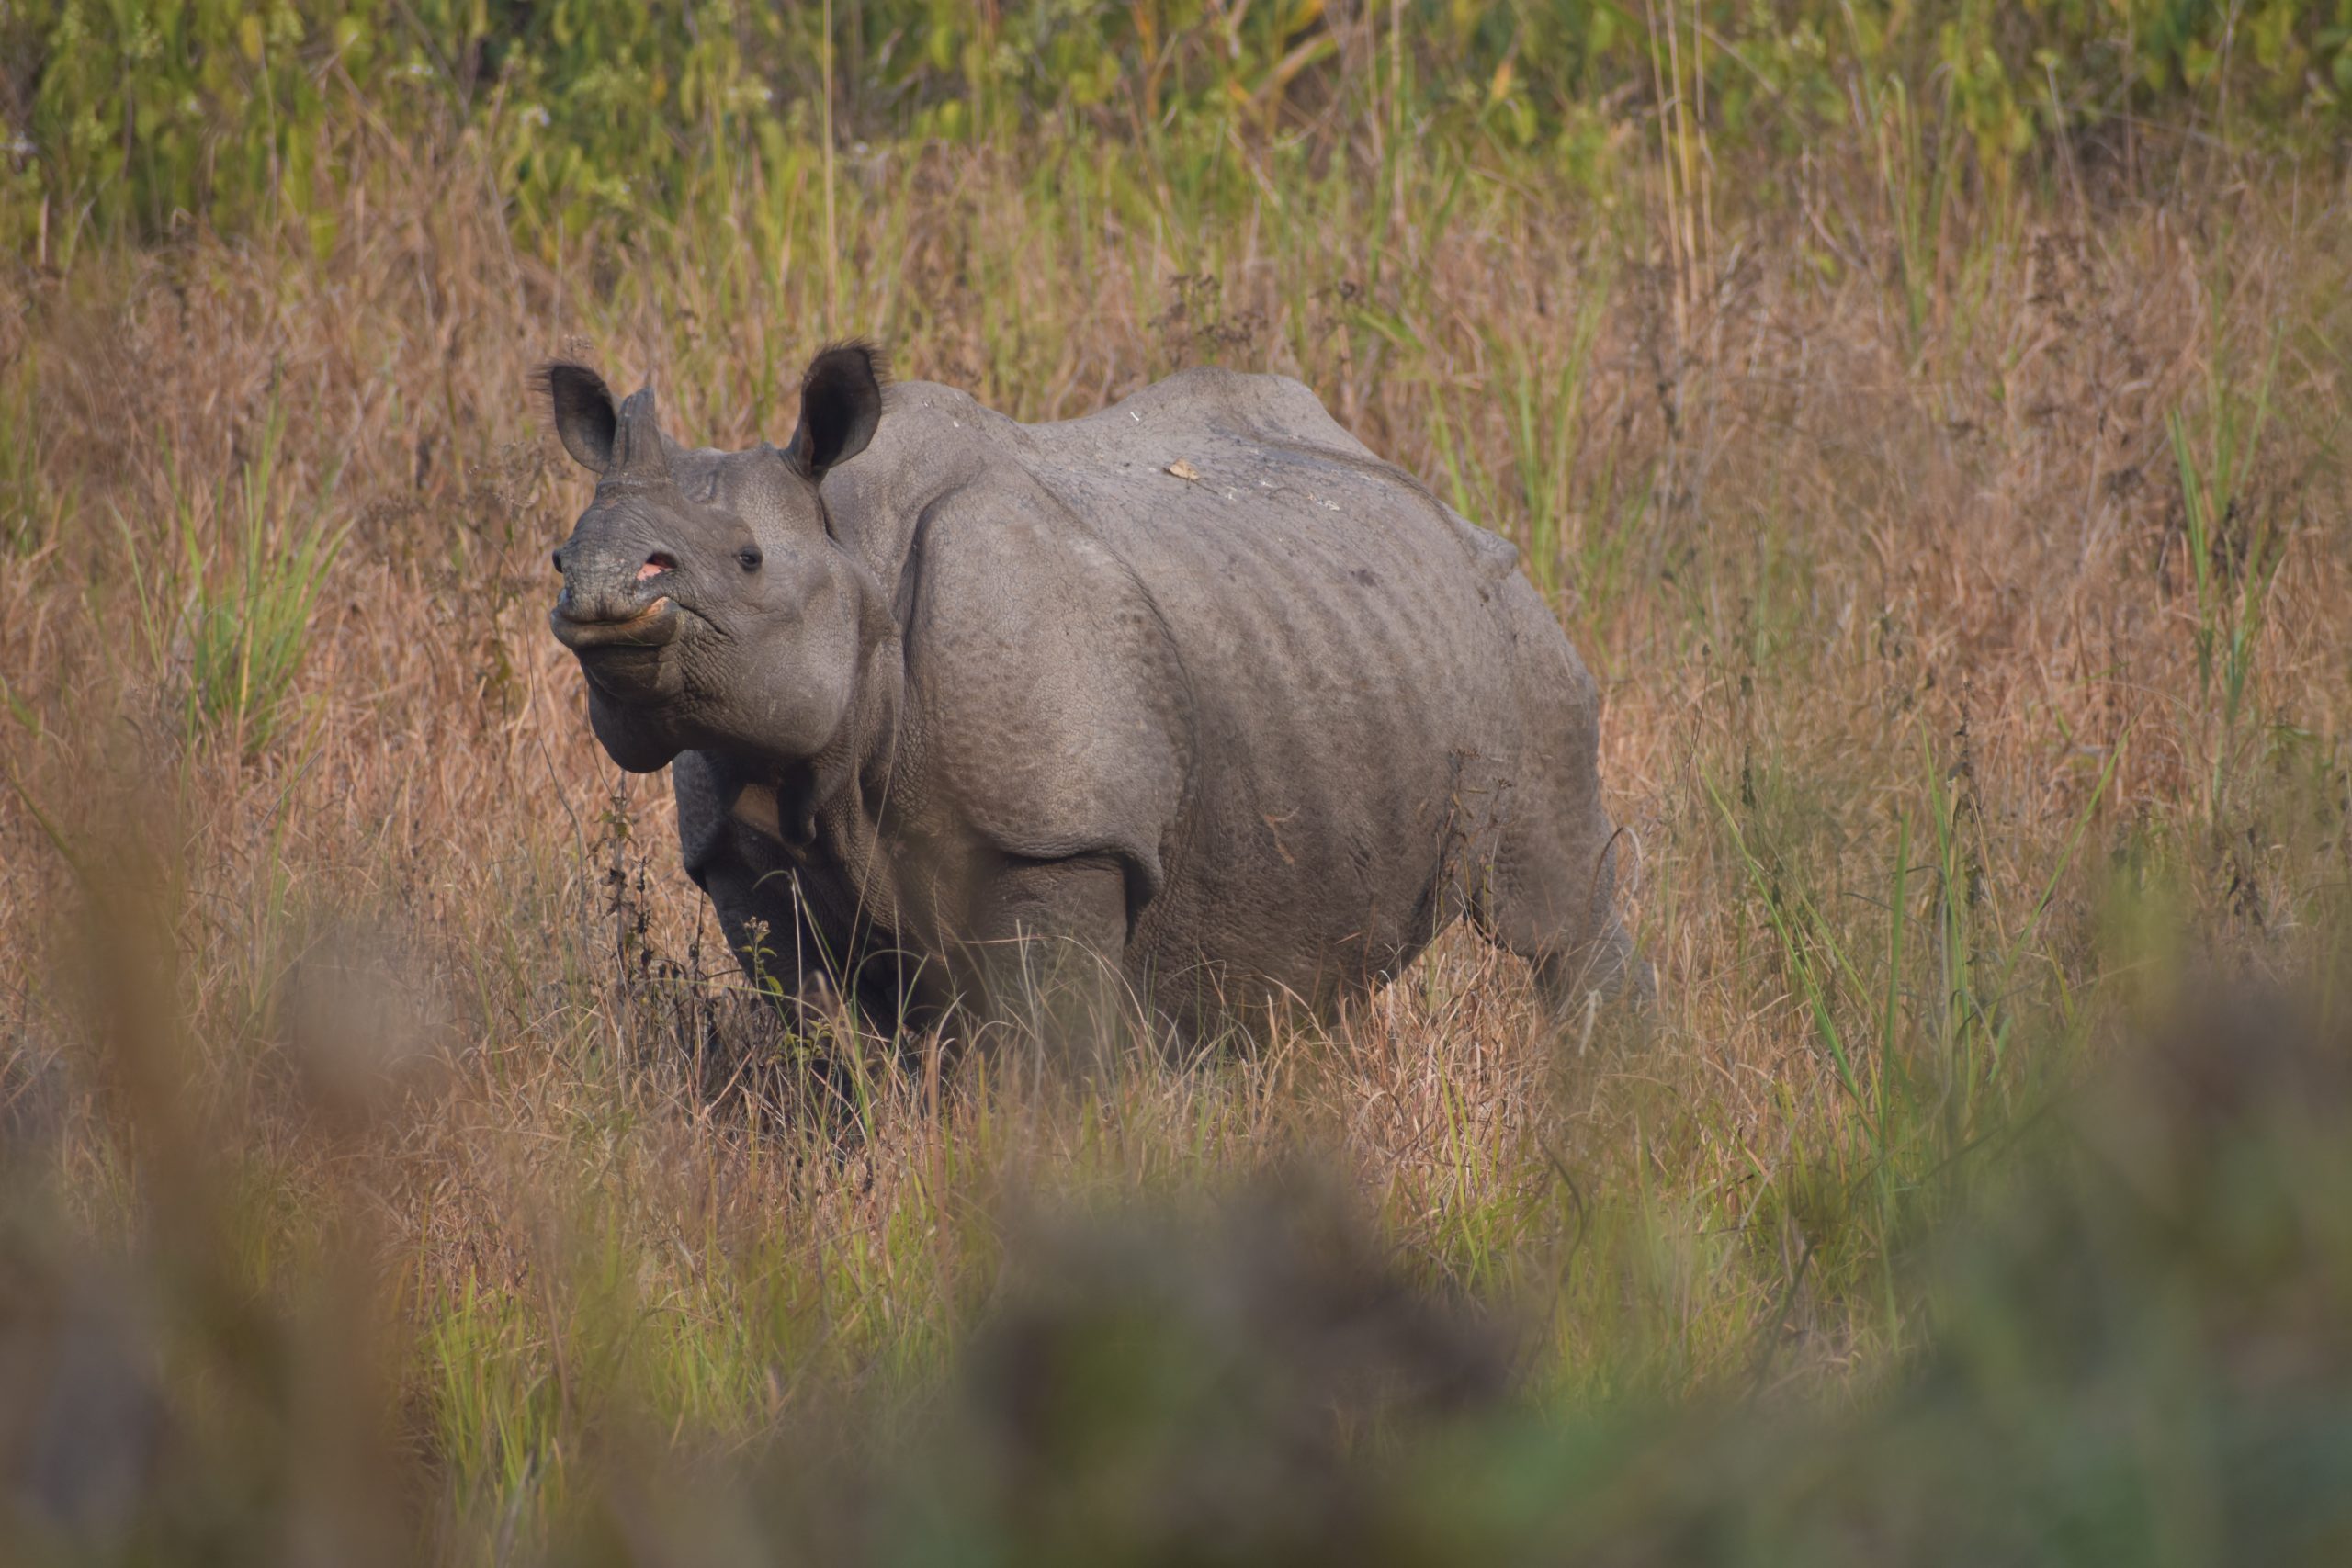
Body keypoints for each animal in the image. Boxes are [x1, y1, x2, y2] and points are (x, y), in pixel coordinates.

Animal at [543, 343, 1640, 1044]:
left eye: (748, 560)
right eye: (557, 555)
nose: (598, 584)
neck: (852, 547)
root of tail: (1433, 496)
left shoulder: (1058, 836)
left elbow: (1044, 1053)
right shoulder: (739, 850)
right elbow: (824, 1046)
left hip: (1517, 636)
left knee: (1560, 917)